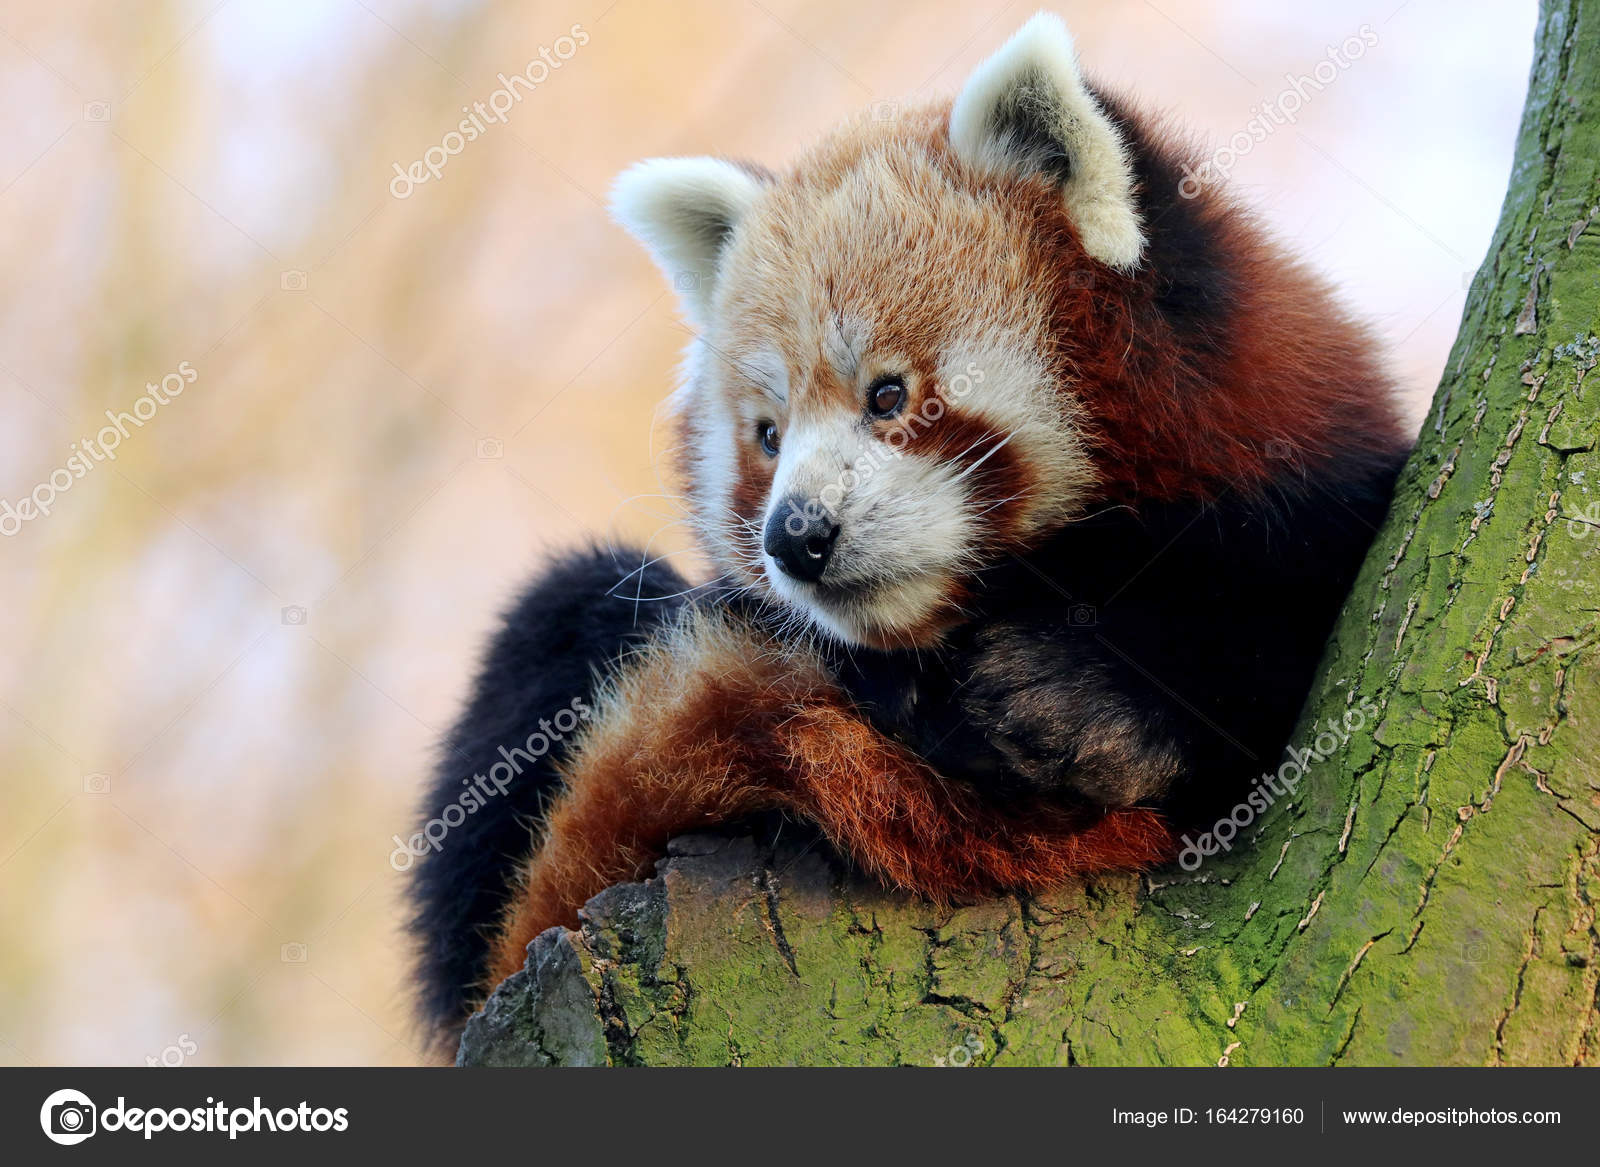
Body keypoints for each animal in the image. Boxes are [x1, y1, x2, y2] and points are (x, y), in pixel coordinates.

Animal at [408, 12, 1411, 1052]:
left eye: (888, 395)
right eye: (768, 436)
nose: (796, 537)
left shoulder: (1318, 500)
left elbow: (1264, 643)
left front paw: (1088, 703)